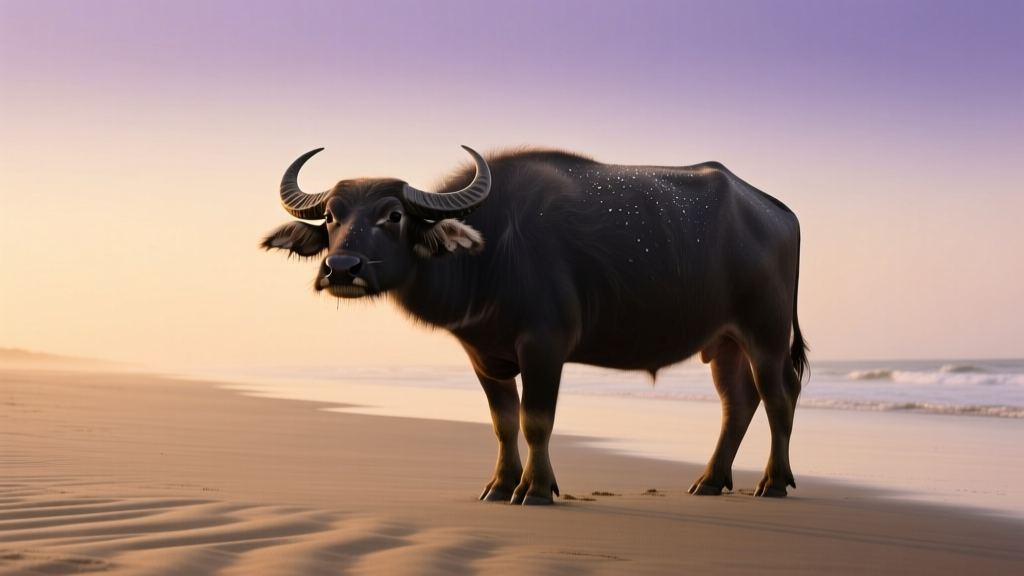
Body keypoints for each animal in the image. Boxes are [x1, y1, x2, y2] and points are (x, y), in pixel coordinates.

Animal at [262, 146, 808, 504]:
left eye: (393, 215)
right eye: (332, 216)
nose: (341, 268)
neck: (492, 252)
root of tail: (777, 211)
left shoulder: (545, 347)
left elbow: (535, 420)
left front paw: (537, 489)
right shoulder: (485, 356)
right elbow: (503, 422)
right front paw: (501, 485)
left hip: (765, 333)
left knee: (778, 395)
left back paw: (773, 483)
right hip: (725, 341)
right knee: (737, 402)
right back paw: (710, 481)